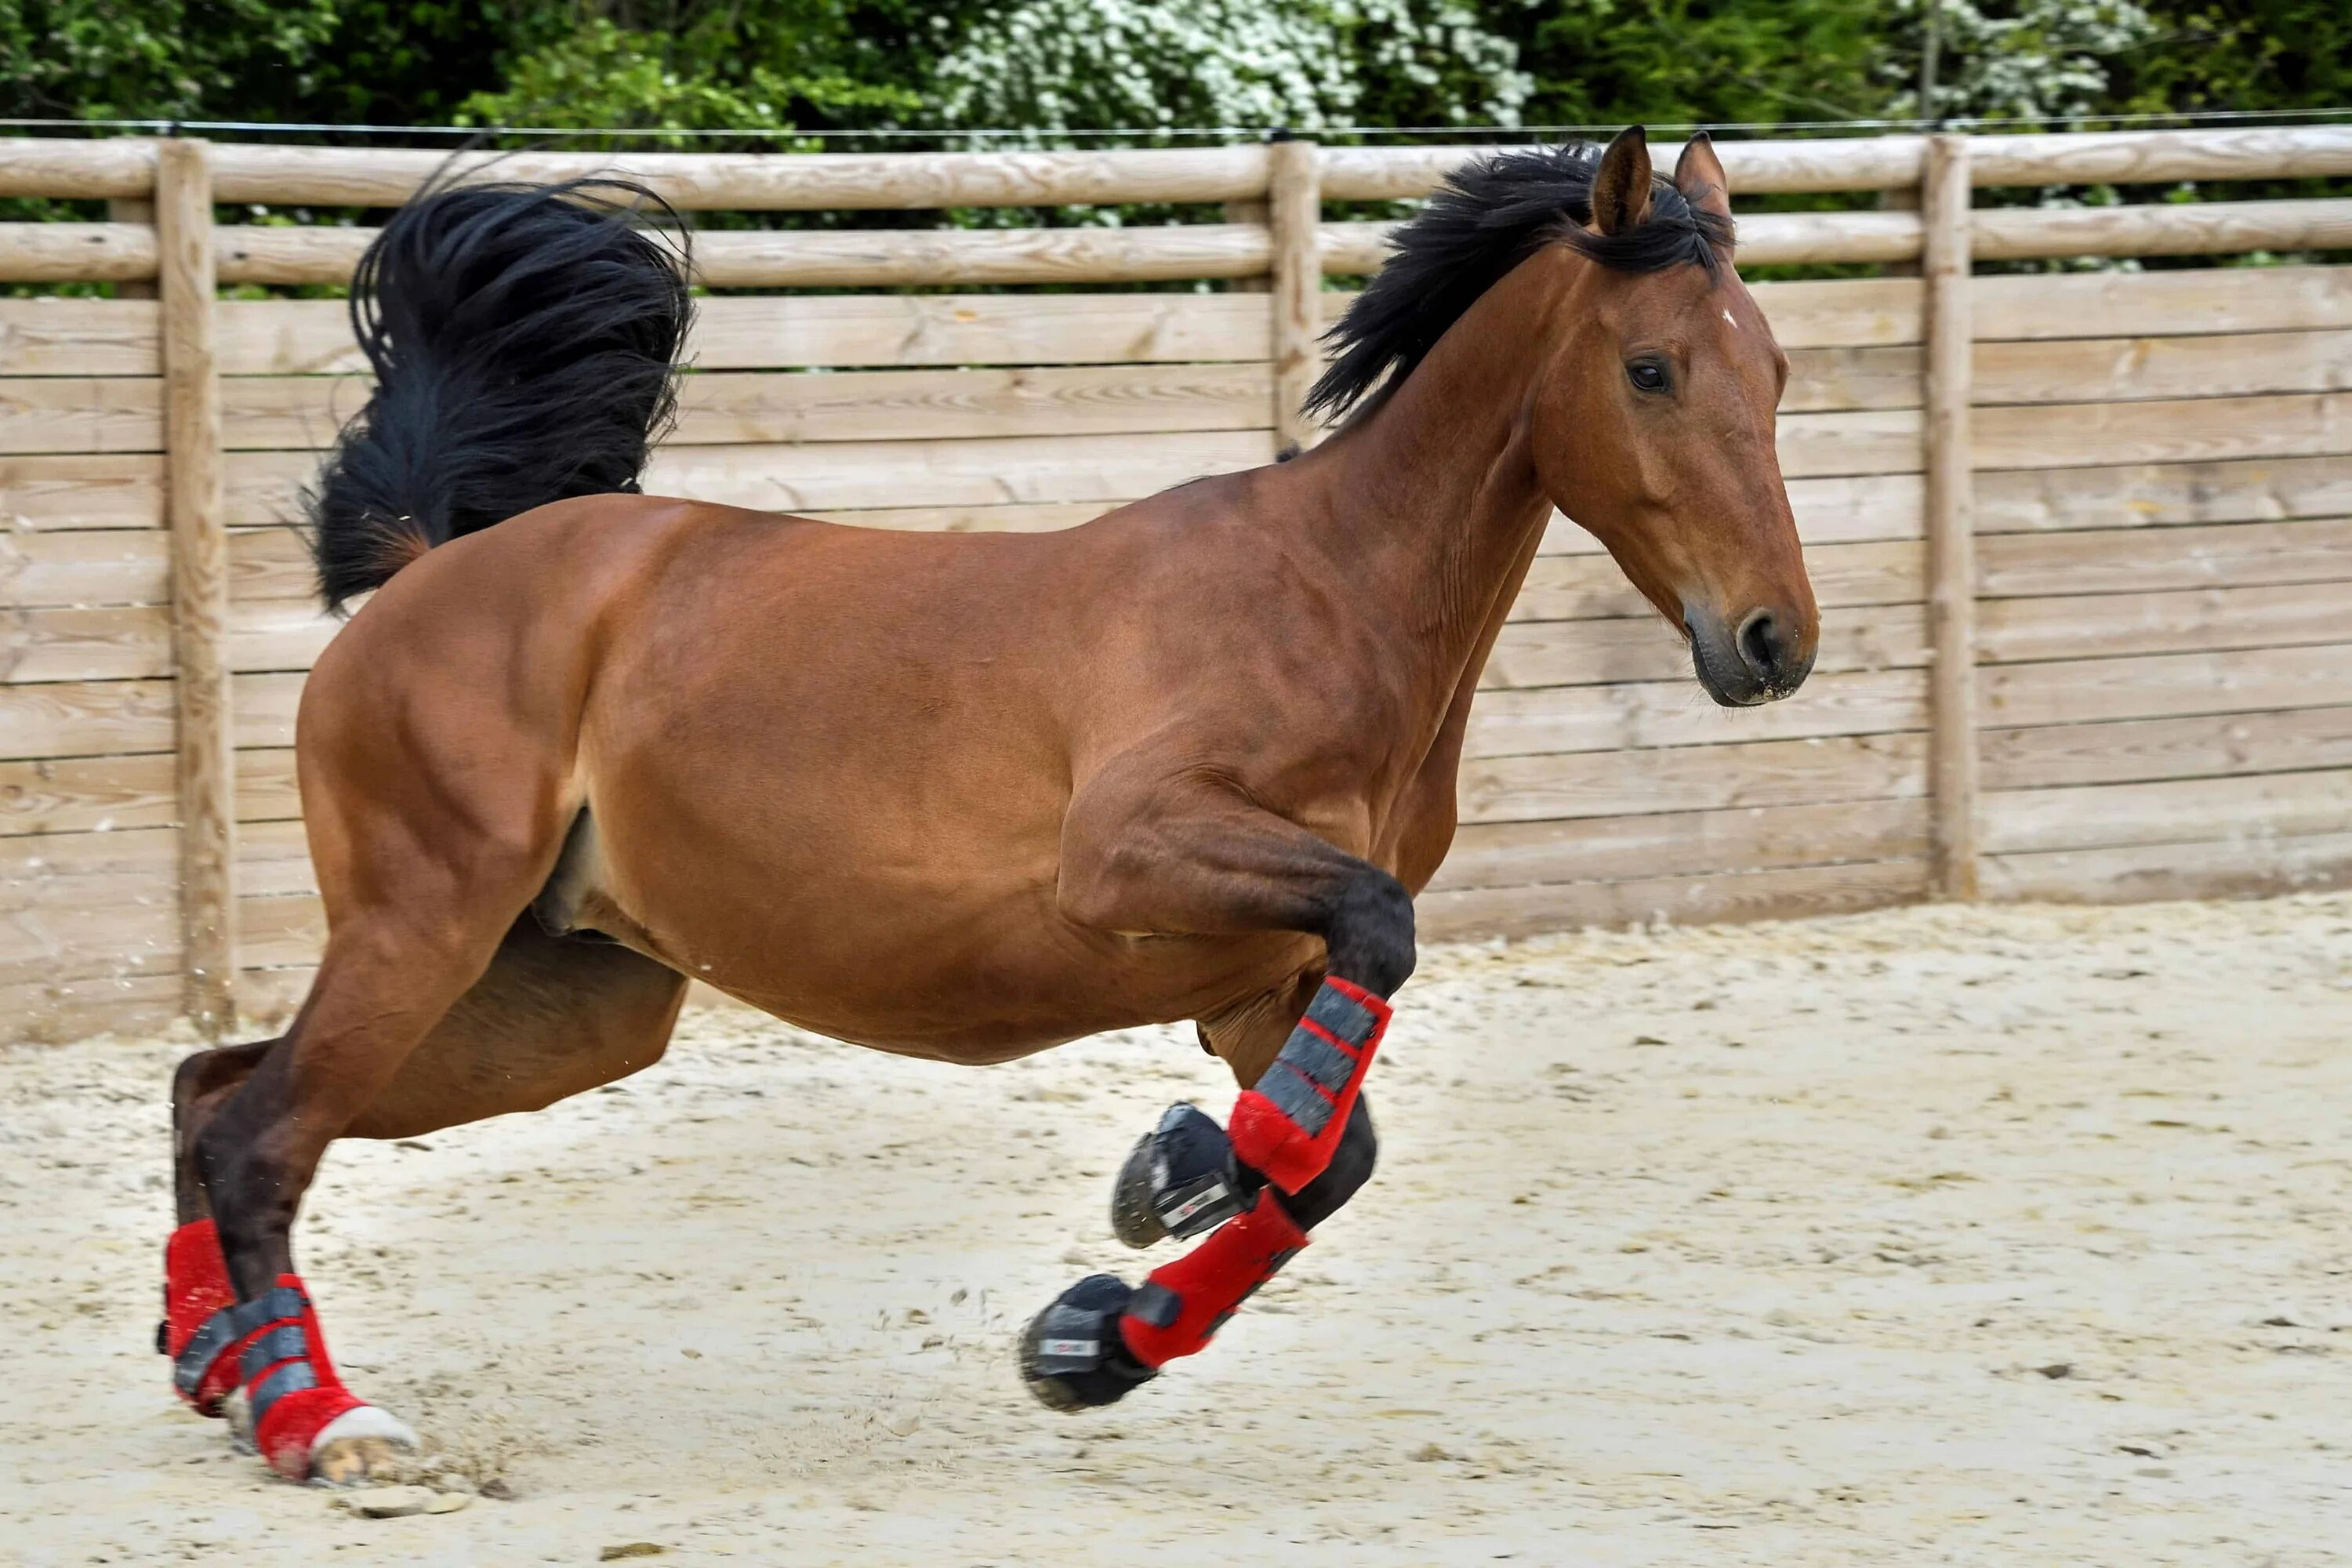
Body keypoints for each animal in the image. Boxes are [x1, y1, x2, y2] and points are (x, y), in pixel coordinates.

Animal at [161, 125, 1816, 1486]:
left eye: (1779, 374)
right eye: (1652, 369)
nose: (1771, 642)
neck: (1333, 596)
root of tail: (431, 569)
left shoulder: (1259, 985)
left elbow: (1331, 1156)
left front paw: (1099, 1332)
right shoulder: (1132, 860)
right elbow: (1374, 949)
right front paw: (1177, 1171)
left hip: (565, 1001)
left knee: (214, 1091)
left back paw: (223, 1369)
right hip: (429, 926)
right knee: (264, 1134)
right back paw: (325, 1423)